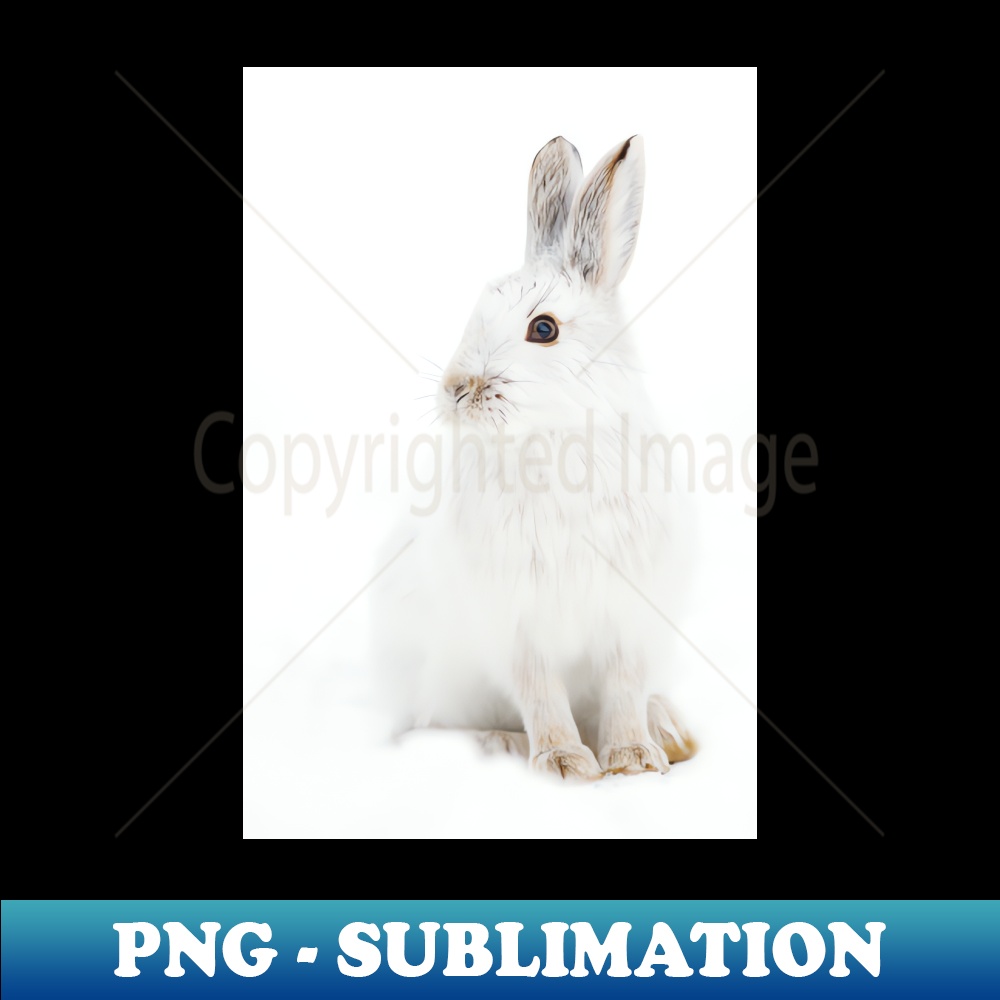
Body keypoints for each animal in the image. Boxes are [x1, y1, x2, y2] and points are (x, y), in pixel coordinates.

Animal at [383, 135, 695, 780]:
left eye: (544, 329)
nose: (454, 389)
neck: (551, 436)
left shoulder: (627, 616)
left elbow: (624, 687)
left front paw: (632, 758)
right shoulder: (518, 624)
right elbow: (540, 693)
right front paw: (564, 762)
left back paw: (669, 730)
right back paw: (500, 745)